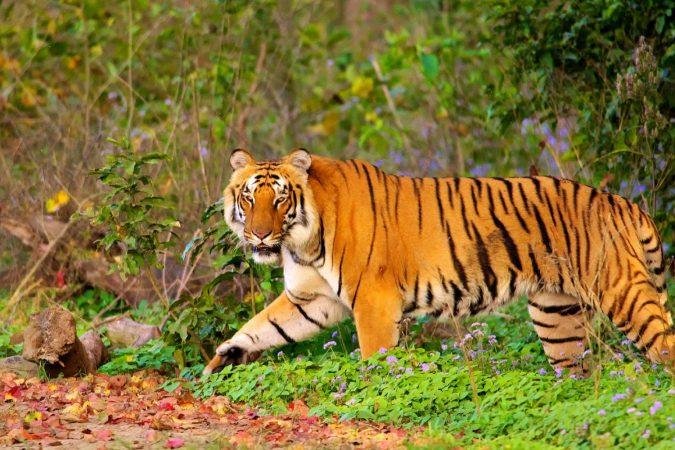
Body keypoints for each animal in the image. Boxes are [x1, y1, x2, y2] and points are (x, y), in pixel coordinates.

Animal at [202, 148, 673, 376]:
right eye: (249, 197)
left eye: (280, 199)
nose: (260, 235)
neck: (303, 241)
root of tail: (625, 204)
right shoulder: (312, 298)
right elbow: (263, 327)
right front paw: (222, 360)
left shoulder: (373, 301)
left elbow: (375, 357)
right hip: (557, 317)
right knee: (577, 369)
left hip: (622, 292)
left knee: (664, 345)